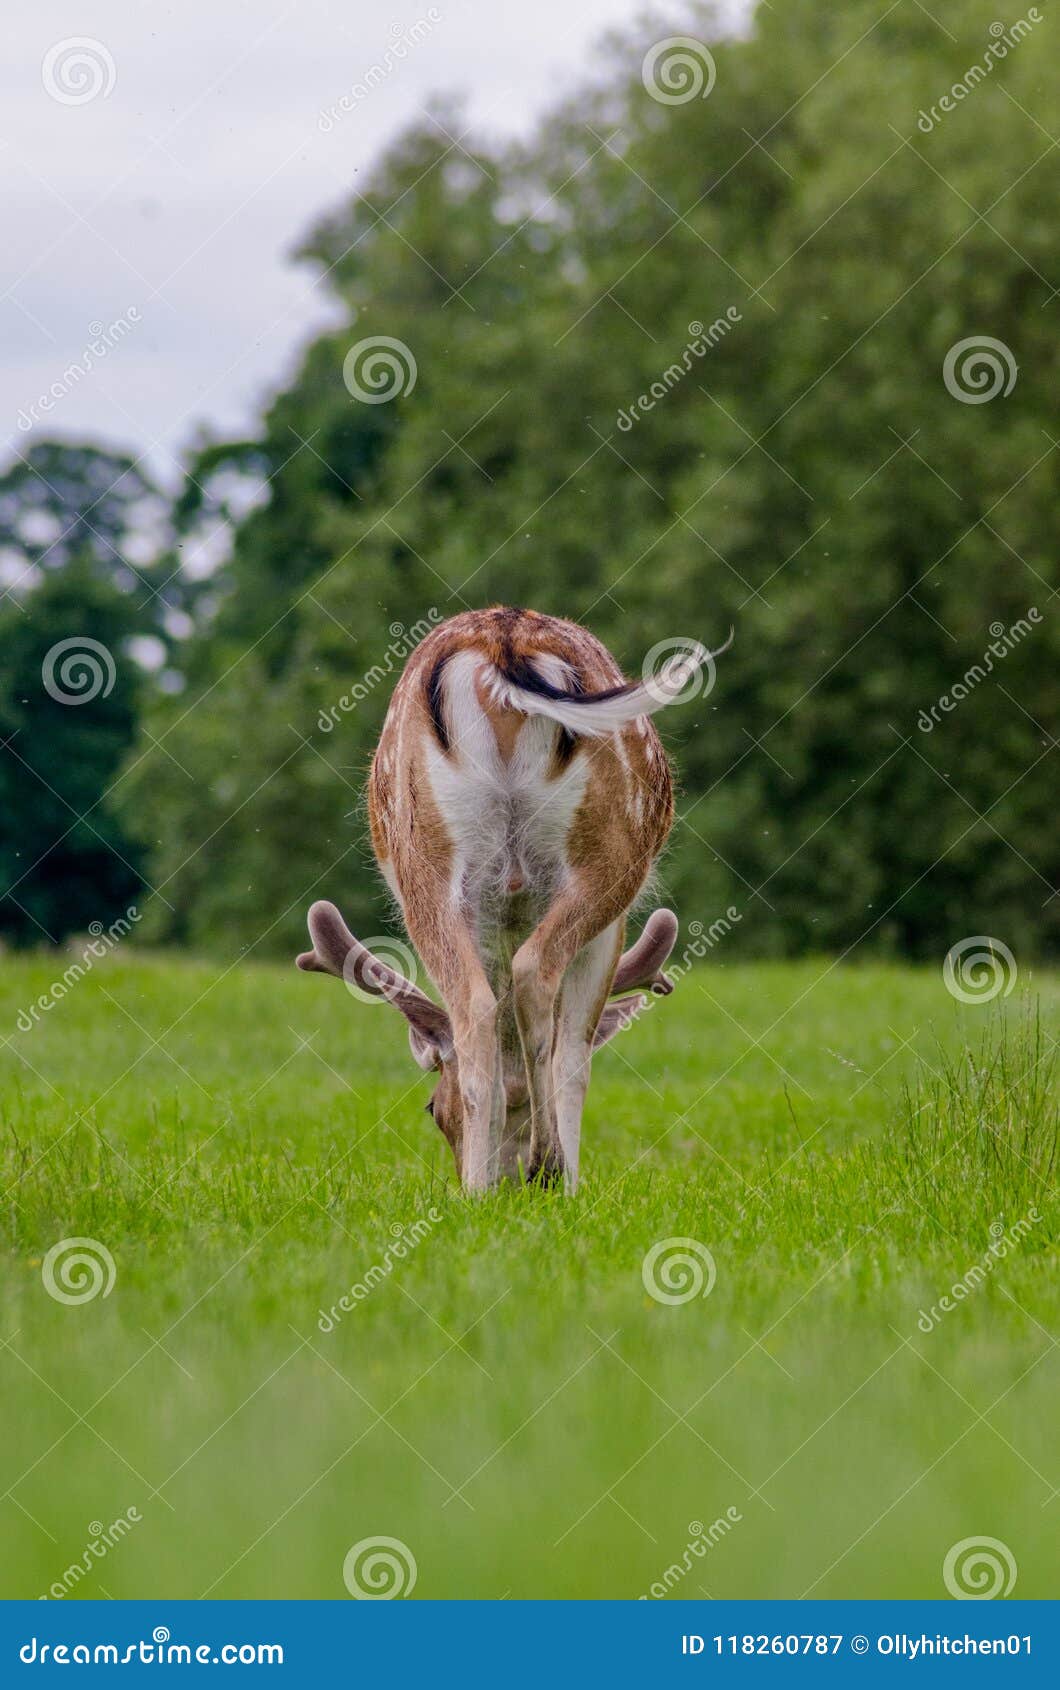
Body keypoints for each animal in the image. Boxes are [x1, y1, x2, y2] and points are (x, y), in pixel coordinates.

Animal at [297, 606, 731, 1192]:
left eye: (431, 1108)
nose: (507, 1177)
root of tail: (502, 644)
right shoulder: (610, 929)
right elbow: (574, 1055)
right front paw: (568, 1179)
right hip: (608, 853)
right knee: (535, 976)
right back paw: (548, 1166)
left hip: (427, 868)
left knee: (478, 1006)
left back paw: (481, 1191)